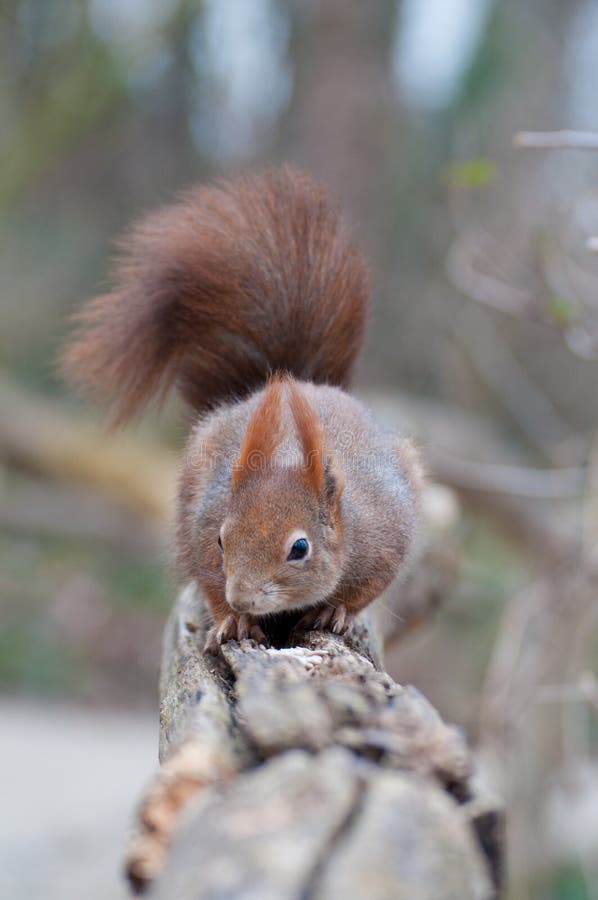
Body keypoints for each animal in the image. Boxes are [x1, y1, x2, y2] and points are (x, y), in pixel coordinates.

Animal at [62, 166, 423, 651]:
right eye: (221, 538)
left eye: (300, 549)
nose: (244, 597)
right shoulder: (204, 526)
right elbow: (207, 579)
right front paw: (234, 618)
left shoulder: (384, 537)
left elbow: (366, 588)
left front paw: (336, 610)